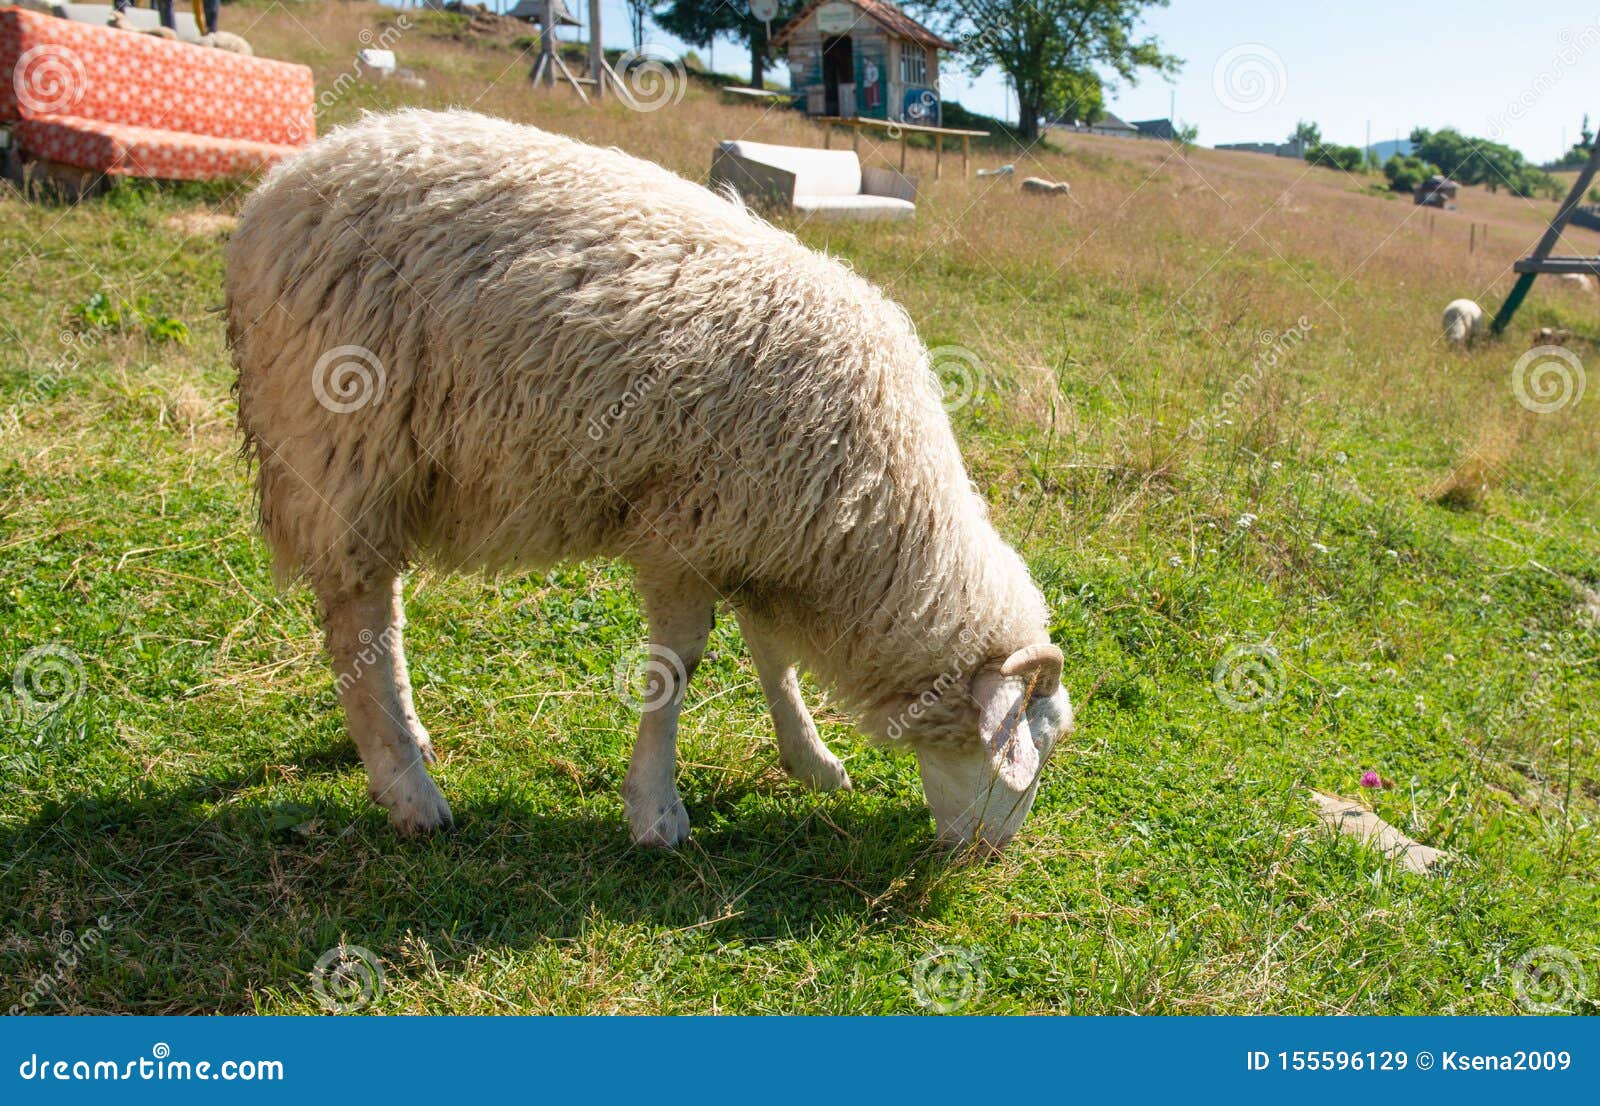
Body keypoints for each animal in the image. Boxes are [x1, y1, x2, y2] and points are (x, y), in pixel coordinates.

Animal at [226, 109, 1072, 852]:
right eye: (1033, 747)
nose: (990, 857)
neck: (877, 511)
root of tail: (282, 183)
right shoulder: (686, 525)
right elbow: (679, 667)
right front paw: (656, 810)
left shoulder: (758, 531)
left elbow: (773, 655)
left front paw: (810, 759)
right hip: (344, 440)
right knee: (360, 619)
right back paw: (409, 790)